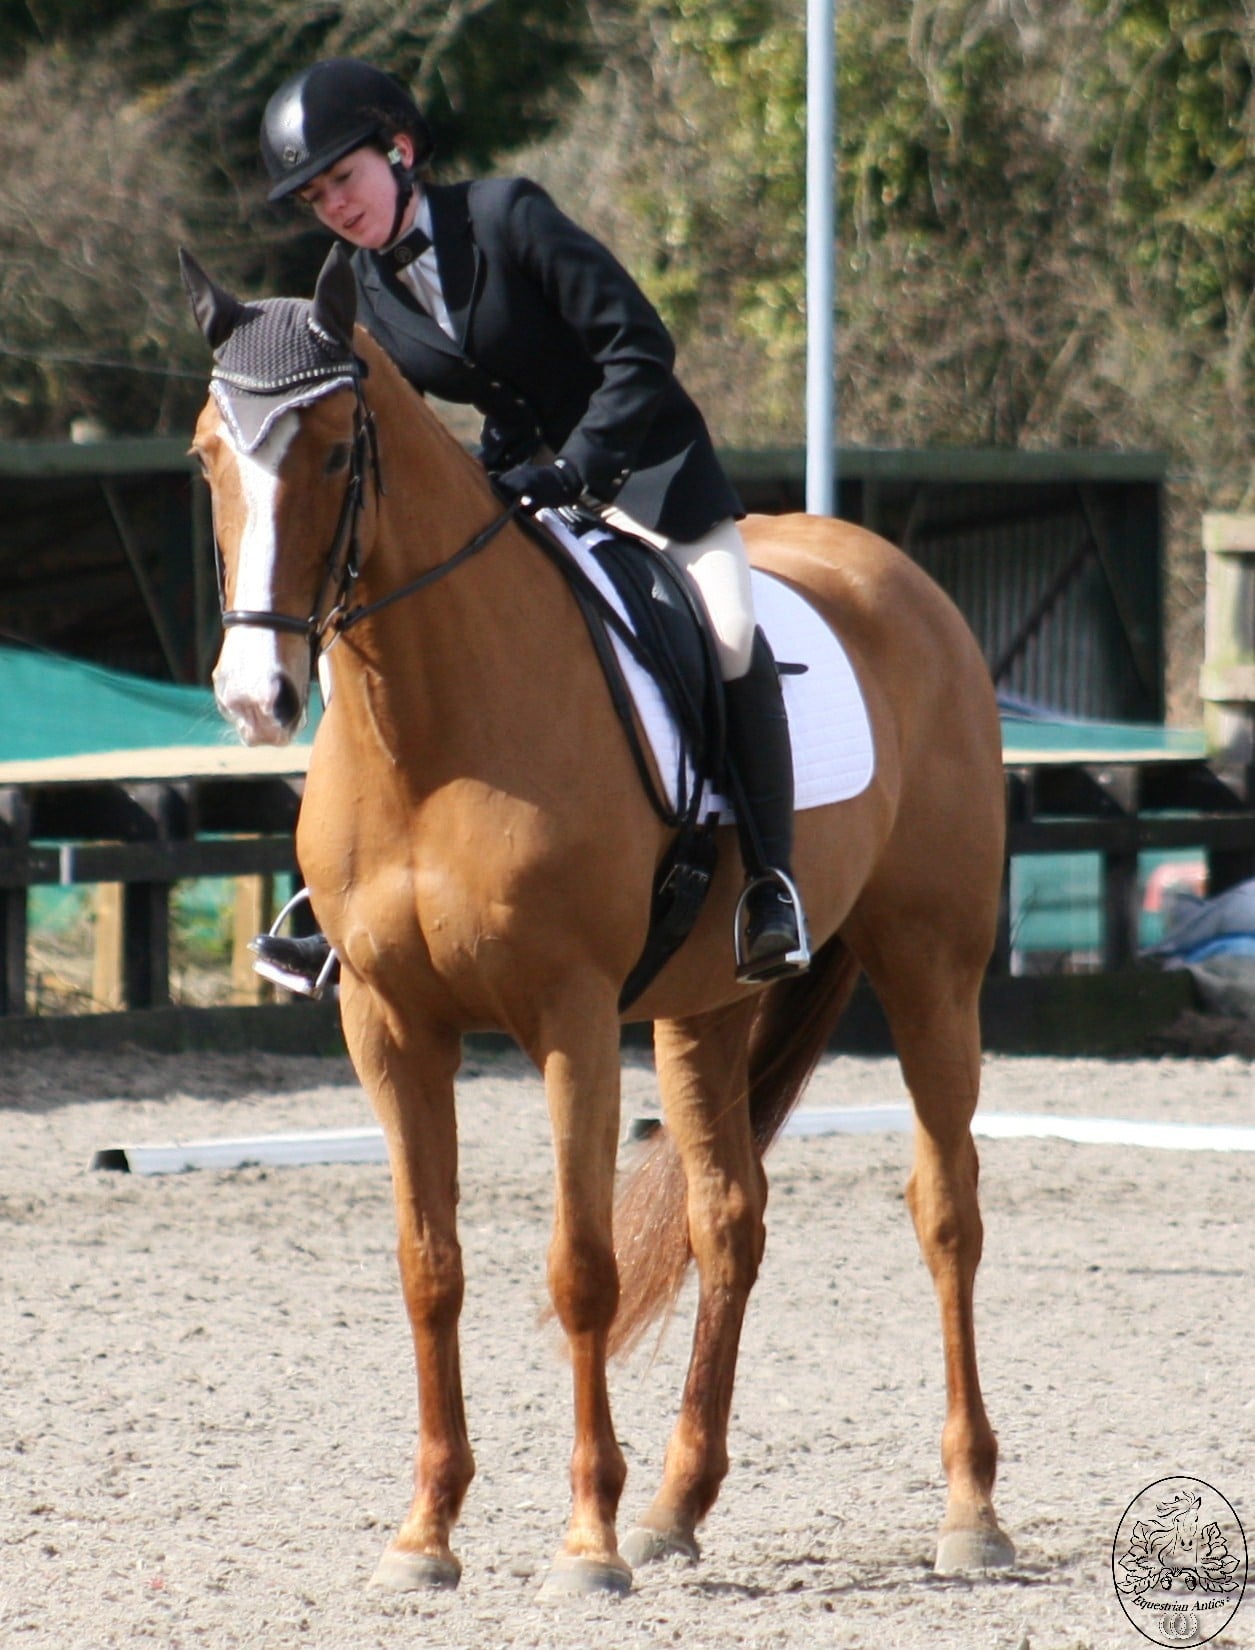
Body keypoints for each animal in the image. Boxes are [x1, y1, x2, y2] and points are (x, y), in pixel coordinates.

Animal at [183, 244, 1015, 1597]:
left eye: (334, 450)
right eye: (209, 454)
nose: (258, 697)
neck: (429, 731)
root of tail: (894, 572)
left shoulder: (568, 1019)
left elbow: (581, 1270)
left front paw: (584, 1542)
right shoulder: (389, 1025)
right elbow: (428, 1267)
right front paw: (426, 1534)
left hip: (931, 966)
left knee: (947, 1213)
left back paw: (971, 1512)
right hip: (706, 1007)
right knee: (728, 1220)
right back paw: (678, 1505)